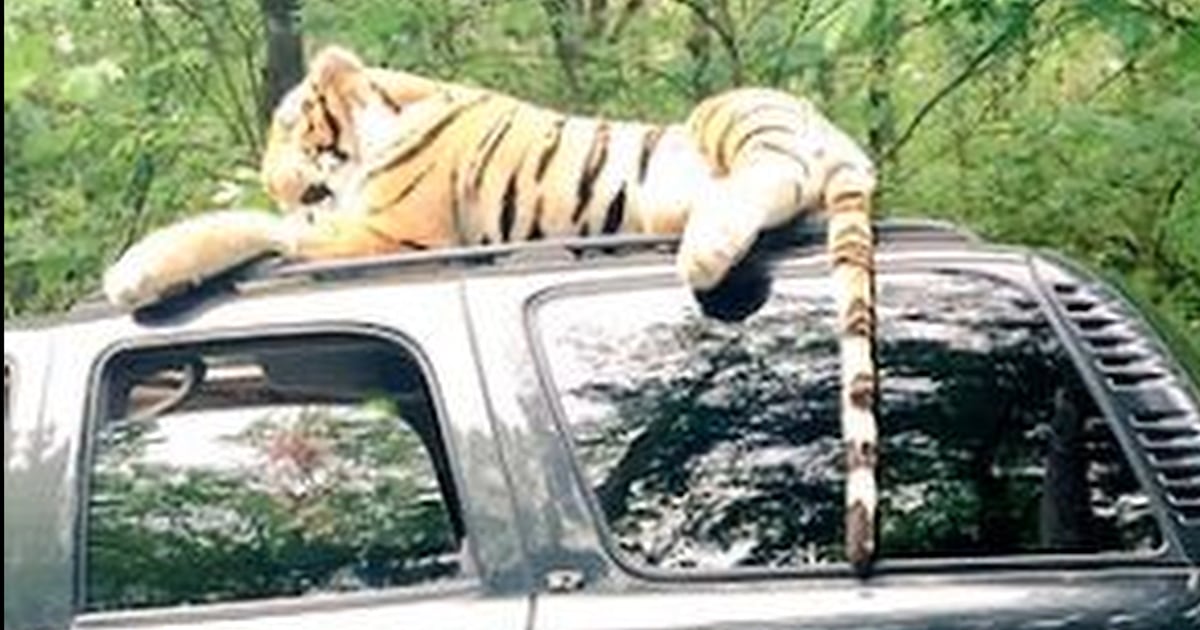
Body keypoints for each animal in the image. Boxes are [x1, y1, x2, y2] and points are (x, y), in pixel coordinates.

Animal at [102, 45, 880, 573]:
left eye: (291, 125)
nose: (274, 176)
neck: (393, 110)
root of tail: (847, 148)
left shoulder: (386, 234)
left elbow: (262, 226)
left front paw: (137, 268)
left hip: (734, 112)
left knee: (779, 166)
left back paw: (708, 250)